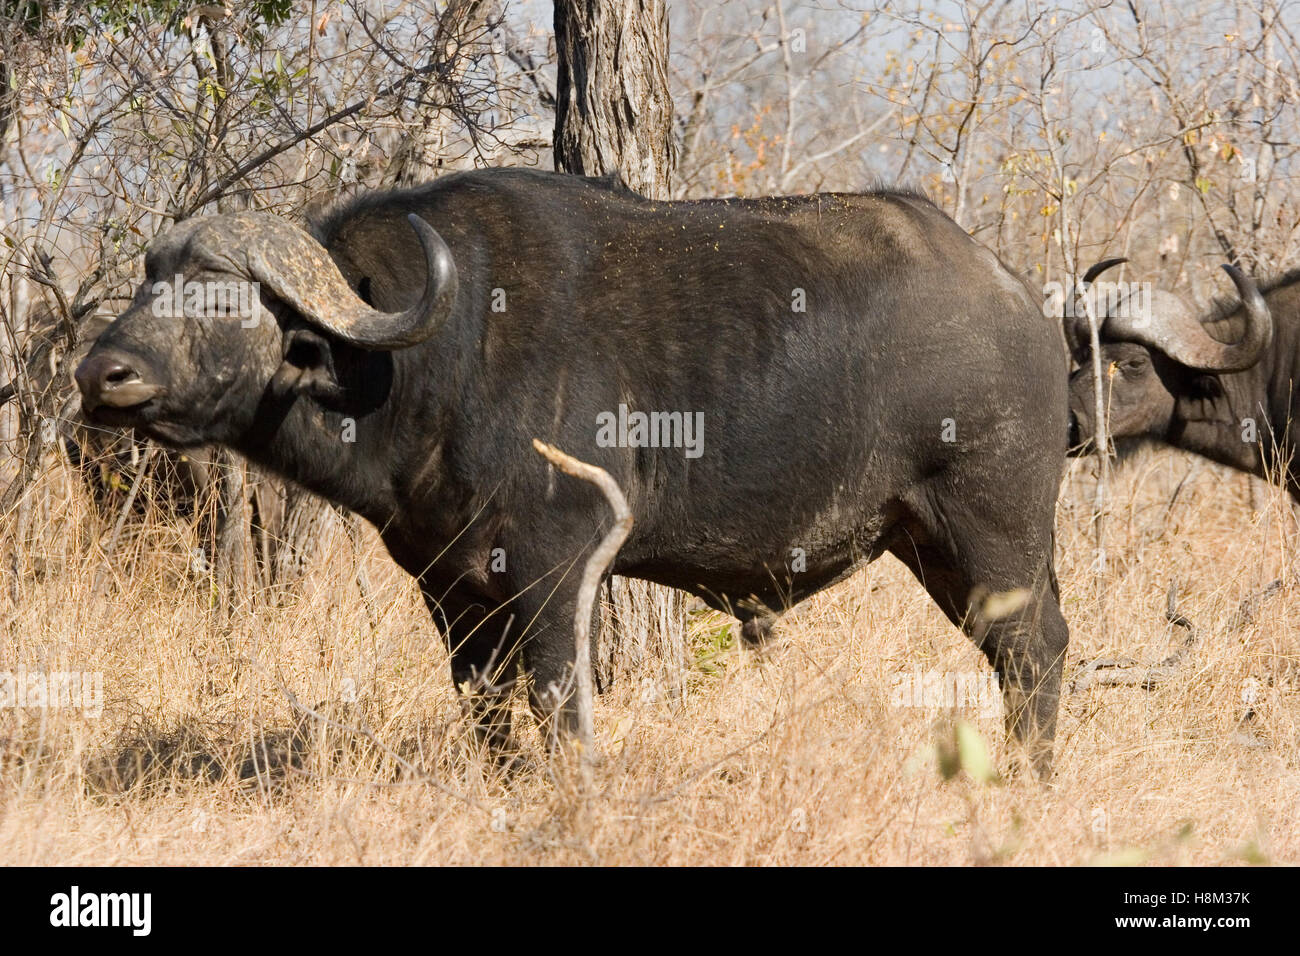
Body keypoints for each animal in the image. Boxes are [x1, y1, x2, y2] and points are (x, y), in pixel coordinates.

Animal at [76, 168, 1071, 773]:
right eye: (149, 283)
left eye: (219, 294)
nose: (100, 375)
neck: (436, 360)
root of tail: (1020, 299)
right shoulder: (449, 586)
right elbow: (481, 704)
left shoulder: (557, 568)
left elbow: (554, 697)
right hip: (932, 545)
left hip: (992, 530)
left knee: (1032, 652)